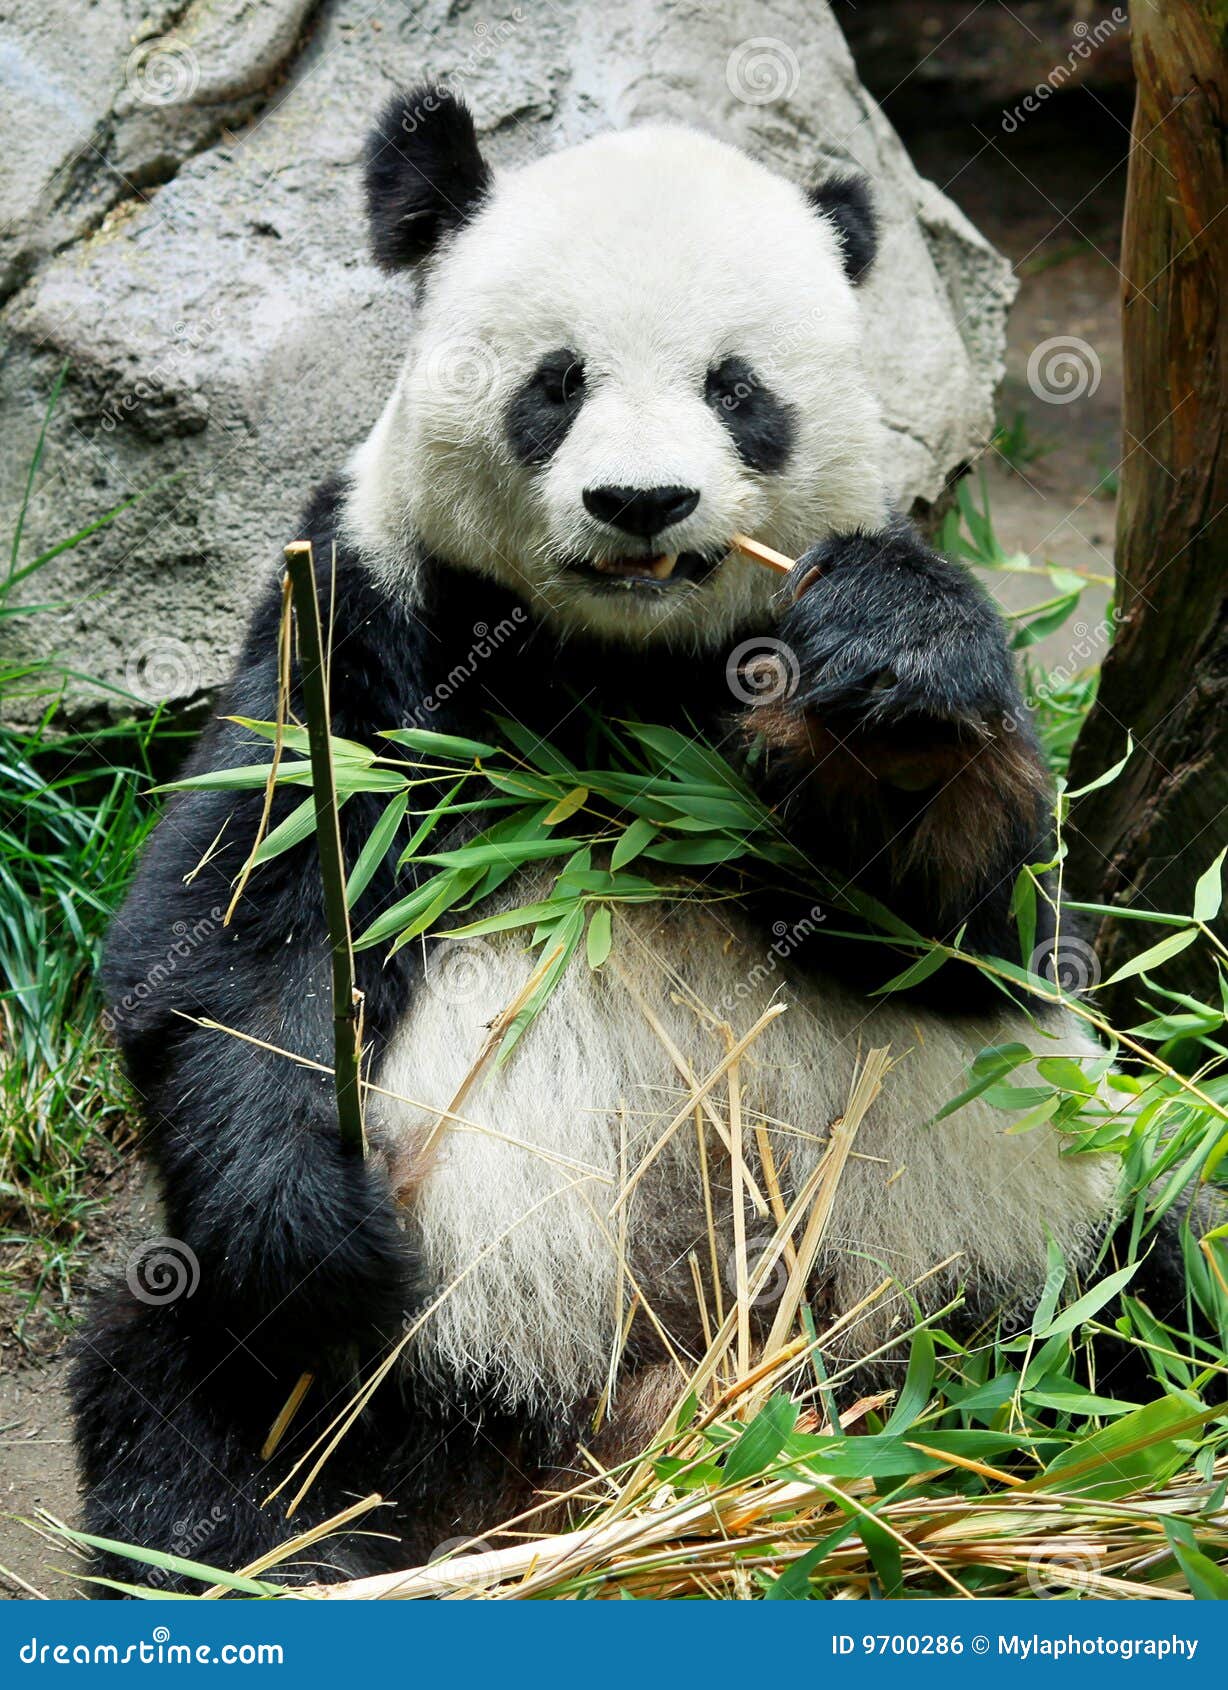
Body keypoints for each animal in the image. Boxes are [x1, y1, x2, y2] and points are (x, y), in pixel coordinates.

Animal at [70, 87, 1192, 1592]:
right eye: (557, 381)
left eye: (737, 388)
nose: (642, 503)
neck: (623, 675)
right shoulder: (361, 623)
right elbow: (234, 925)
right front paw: (309, 1231)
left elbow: (974, 934)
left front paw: (892, 674)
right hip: (406, 1355)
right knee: (183, 1392)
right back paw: (286, 1546)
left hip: (1008, 1237)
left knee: (1155, 1280)